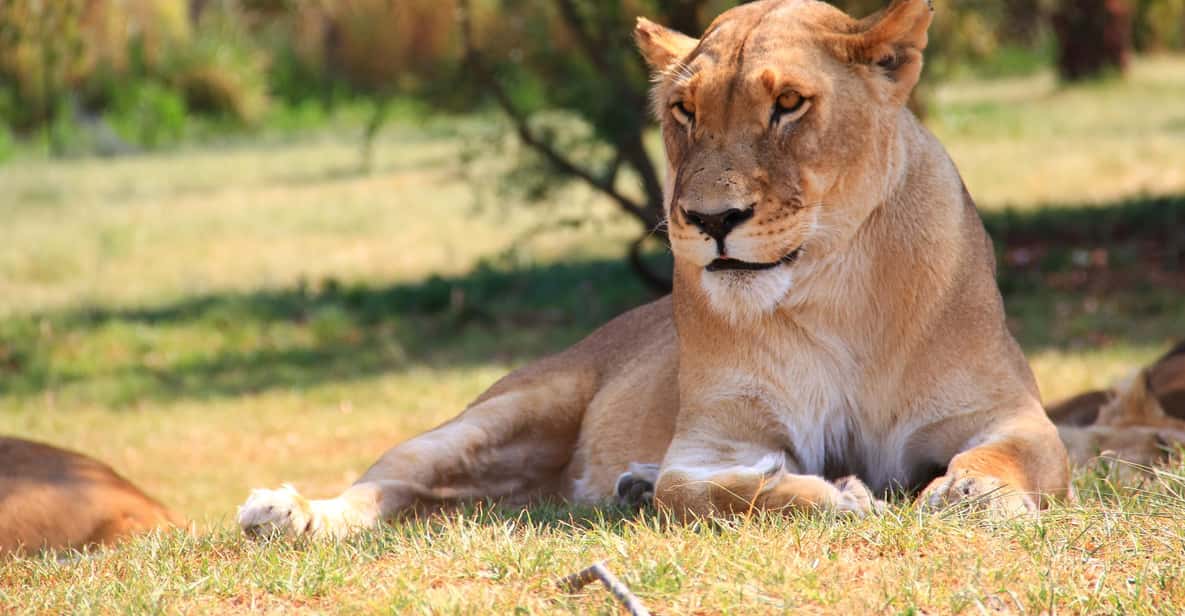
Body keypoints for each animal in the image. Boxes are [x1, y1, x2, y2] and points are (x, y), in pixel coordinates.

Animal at [238, 0, 1073, 538]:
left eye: (789, 104)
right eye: (684, 110)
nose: (709, 221)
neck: (832, 287)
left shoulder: (1007, 411)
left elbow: (1011, 452)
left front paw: (971, 492)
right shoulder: (715, 442)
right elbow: (699, 491)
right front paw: (828, 494)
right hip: (501, 413)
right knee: (391, 480)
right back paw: (286, 514)